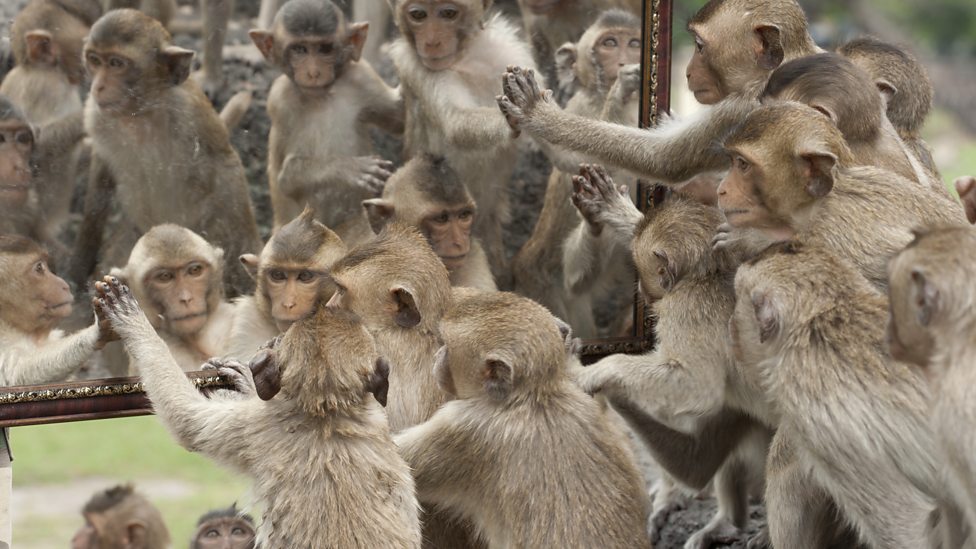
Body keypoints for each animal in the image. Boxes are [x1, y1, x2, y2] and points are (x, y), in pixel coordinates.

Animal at [71, 9, 262, 297]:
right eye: (94, 60)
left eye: (116, 63)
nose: (98, 87)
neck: (138, 114)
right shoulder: (96, 115)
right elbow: (100, 178)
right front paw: (79, 266)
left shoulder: (191, 115)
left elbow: (224, 169)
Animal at [94, 276, 423, 549]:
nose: (271, 342)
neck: (327, 408)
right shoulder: (378, 423)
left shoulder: (256, 426)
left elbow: (184, 419)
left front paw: (132, 323)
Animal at [249, 0, 402, 244]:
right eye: (299, 50)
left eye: (325, 49)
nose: (313, 72)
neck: (322, 95)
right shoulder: (280, 101)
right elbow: (286, 178)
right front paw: (348, 168)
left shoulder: (363, 75)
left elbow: (398, 119)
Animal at [388, 0, 539, 286]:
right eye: (418, 15)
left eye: (448, 13)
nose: (432, 42)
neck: (464, 57)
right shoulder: (415, 66)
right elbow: (457, 122)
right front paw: (514, 117)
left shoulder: (510, 52)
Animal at [715, 101, 966, 290]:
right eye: (732, 161)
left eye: (743, 164)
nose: (721, 189)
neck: (818, 205)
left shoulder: (833, 237)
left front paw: (749, 239)